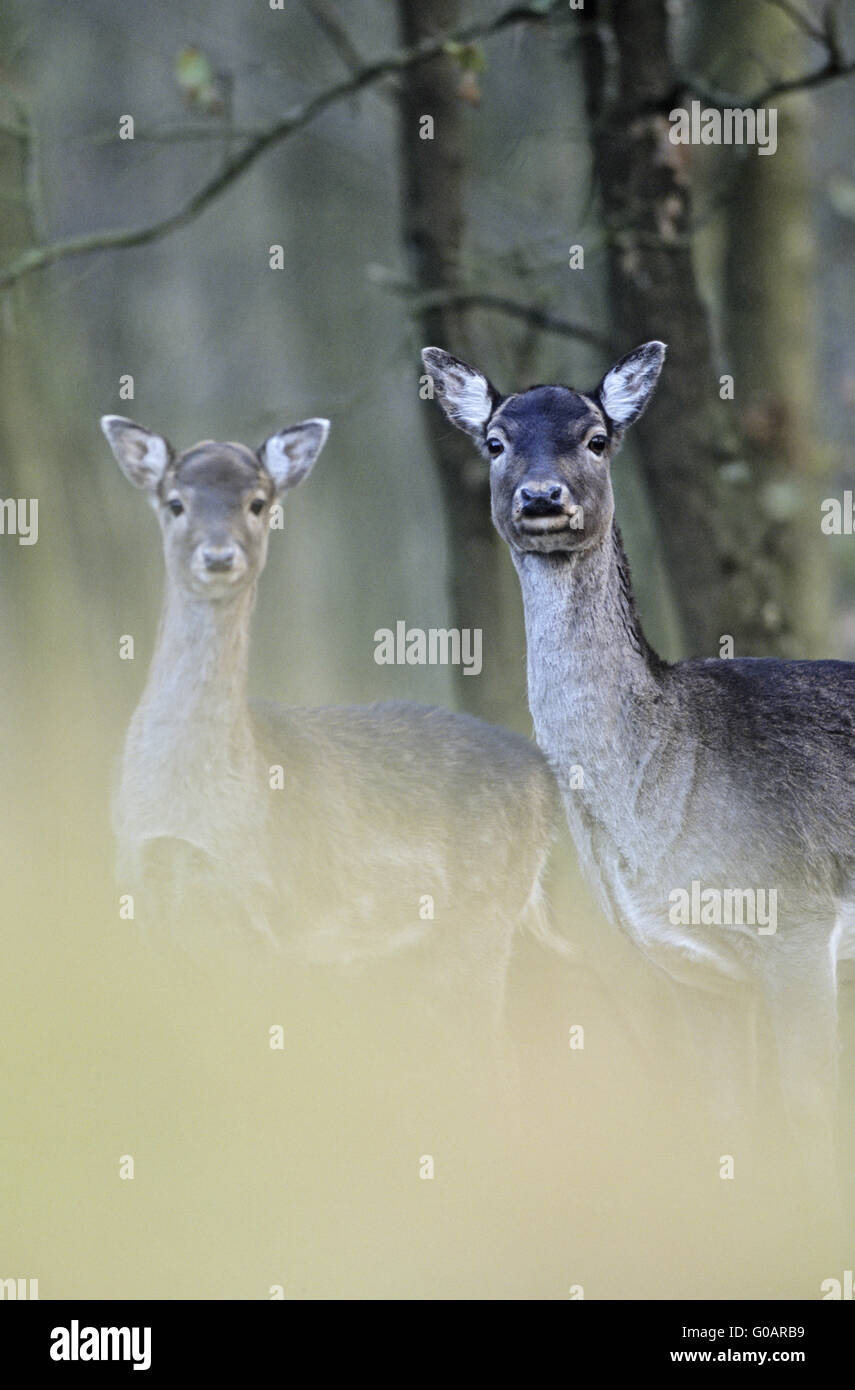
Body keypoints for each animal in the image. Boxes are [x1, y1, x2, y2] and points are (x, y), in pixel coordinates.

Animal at [100, 413, 564, 1045]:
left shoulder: (263, 912)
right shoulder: (145, 908)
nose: (218, 557)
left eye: (257, 502)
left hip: (481, 922)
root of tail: (545, 779)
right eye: (175, 502)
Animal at [422, 341, 855, 1198]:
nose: (541, 495)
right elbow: (723, 1122)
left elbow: (808, 1116)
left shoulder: (798, 918)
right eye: (494, 440)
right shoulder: (686, 967)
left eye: (596, 438)